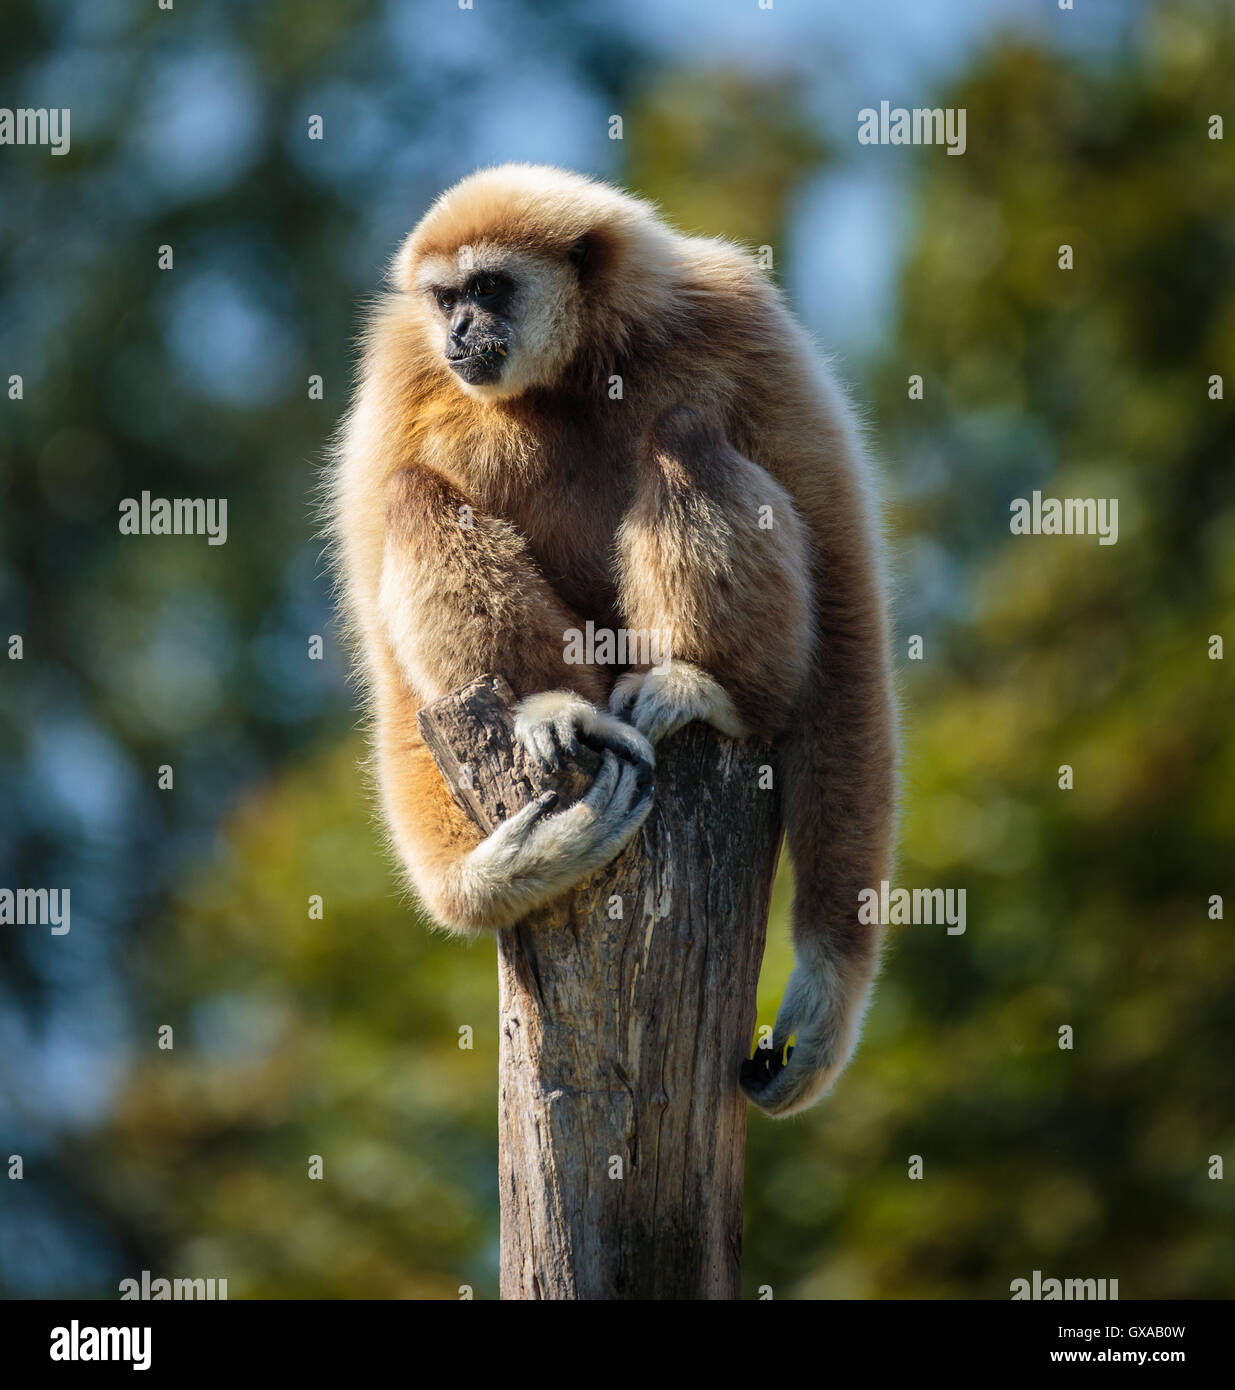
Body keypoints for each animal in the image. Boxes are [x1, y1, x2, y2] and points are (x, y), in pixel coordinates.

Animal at [328, 164, 897, 1116]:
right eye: (444, 298)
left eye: (489, 288)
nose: (460, 330)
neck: (577, 366)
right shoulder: (405, 365)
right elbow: (391, 678)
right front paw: (491, 883)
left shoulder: (739, 314)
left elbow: (847, 596)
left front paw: (825, 1000)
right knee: (412, 490)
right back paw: (555, 706)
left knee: (684, 435)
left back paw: (706, 689)